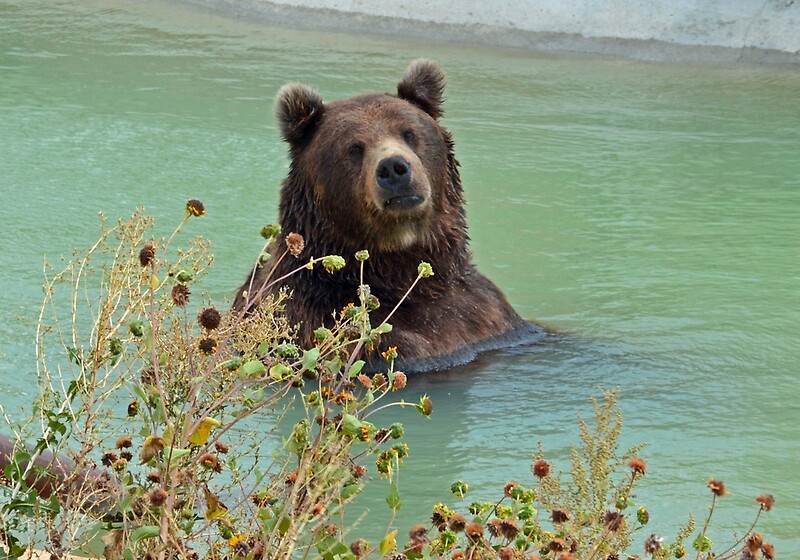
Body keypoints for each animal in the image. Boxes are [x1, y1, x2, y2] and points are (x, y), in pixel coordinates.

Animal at [233, 59, 545, 373]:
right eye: (354, 148)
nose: (394, 168)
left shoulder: (490, 318)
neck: (402, 276)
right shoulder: (325, 321)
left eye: (409, 133)